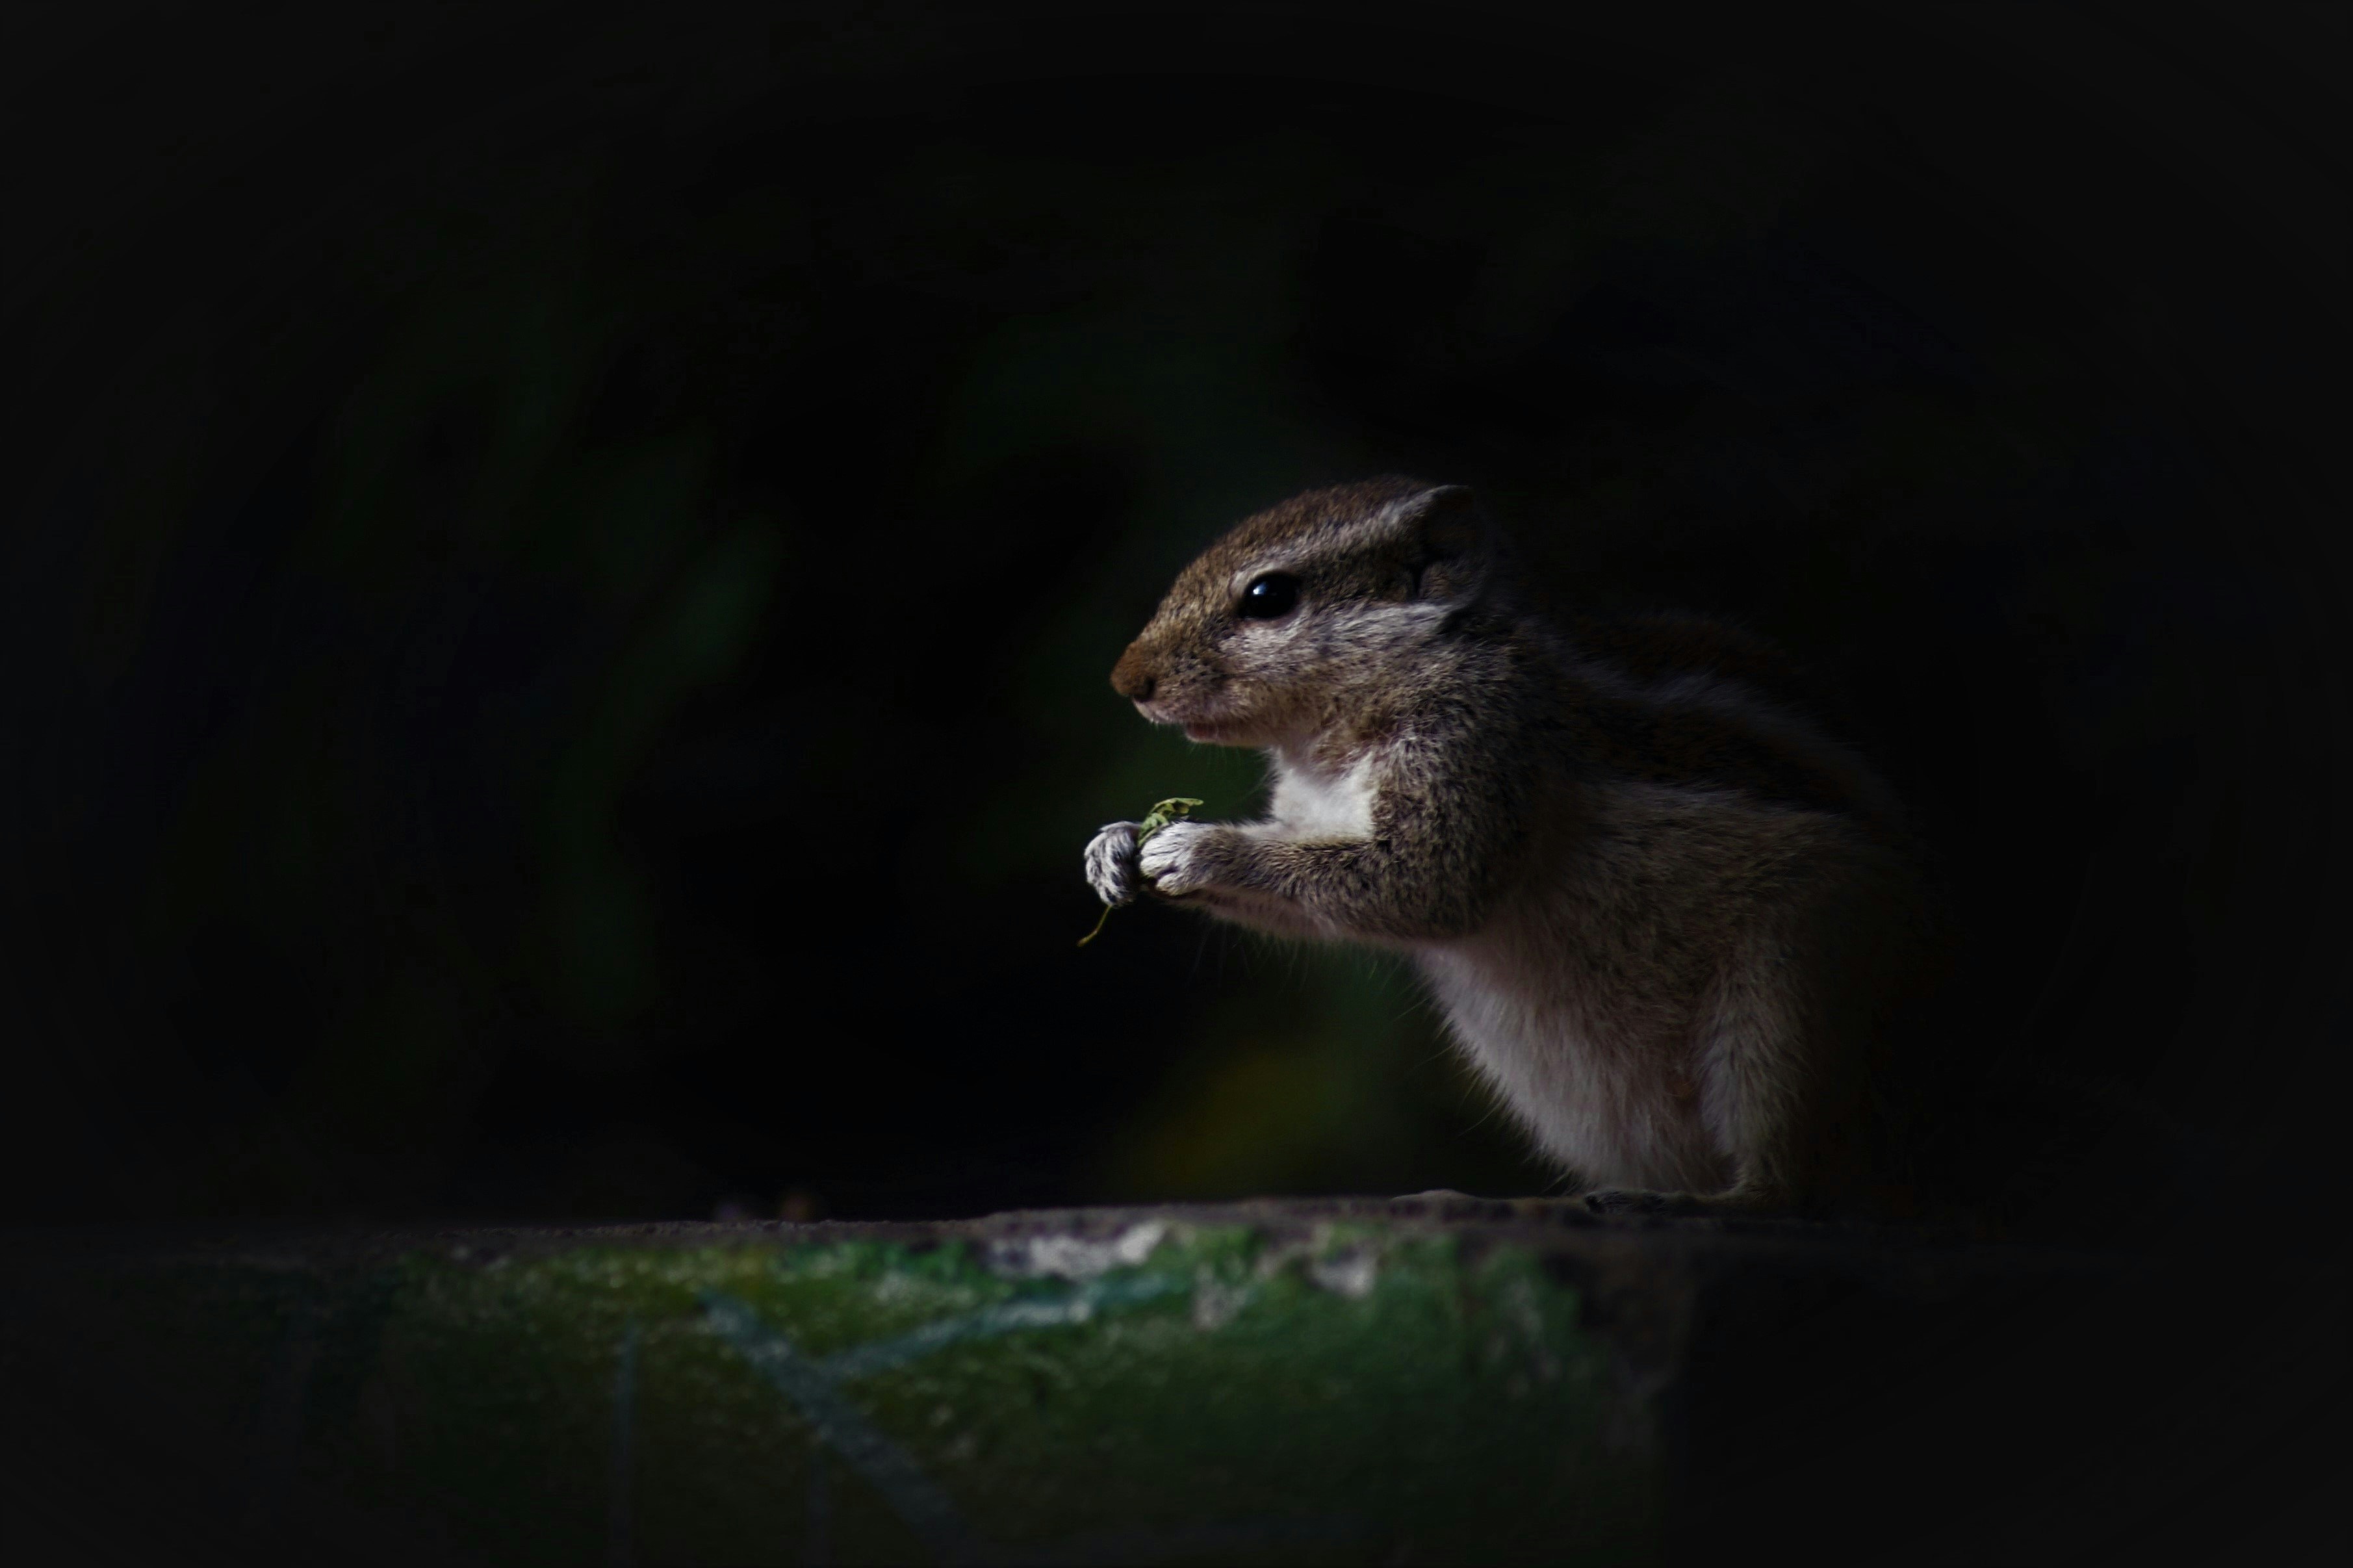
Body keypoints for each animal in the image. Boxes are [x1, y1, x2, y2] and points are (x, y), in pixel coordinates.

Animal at [1083, 478, 1941, 1218]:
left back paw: (1700, 1201)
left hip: (1787, 999)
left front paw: (1197, 850)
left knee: (1791, 1186)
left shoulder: (1475, 743)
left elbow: (1424, 883)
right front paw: (1114, 846)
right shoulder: (1308, 811)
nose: (1126, 681)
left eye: (1268, 597)